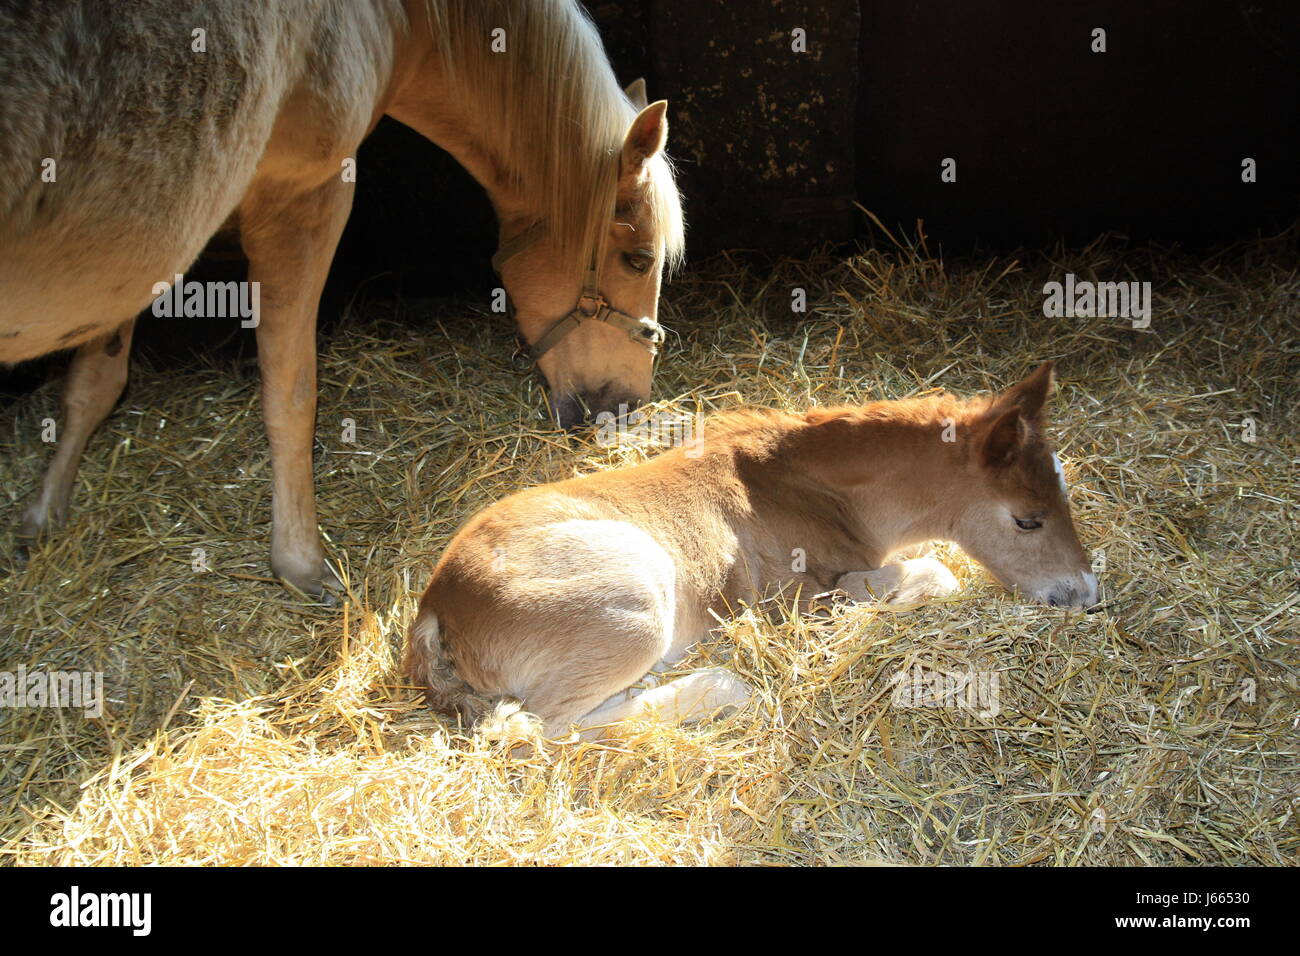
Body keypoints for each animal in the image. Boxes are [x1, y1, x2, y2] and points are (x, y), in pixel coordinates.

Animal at [0, 0, 684, 596]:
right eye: (638, 259)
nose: (627, 407)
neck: (401, 18)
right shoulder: (305, 195)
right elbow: (291, 392)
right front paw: (301, 562)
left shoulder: (139, 234)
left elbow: (94, 380)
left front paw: (43, 517)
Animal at [405, 363, 1100, 741]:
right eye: (1029, 520)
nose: (1087, 596)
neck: (806, 487)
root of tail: (436, 603)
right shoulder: (802, 595)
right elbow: (930, 574)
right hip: (636, 597)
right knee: (537, 727)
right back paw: (720, 686)